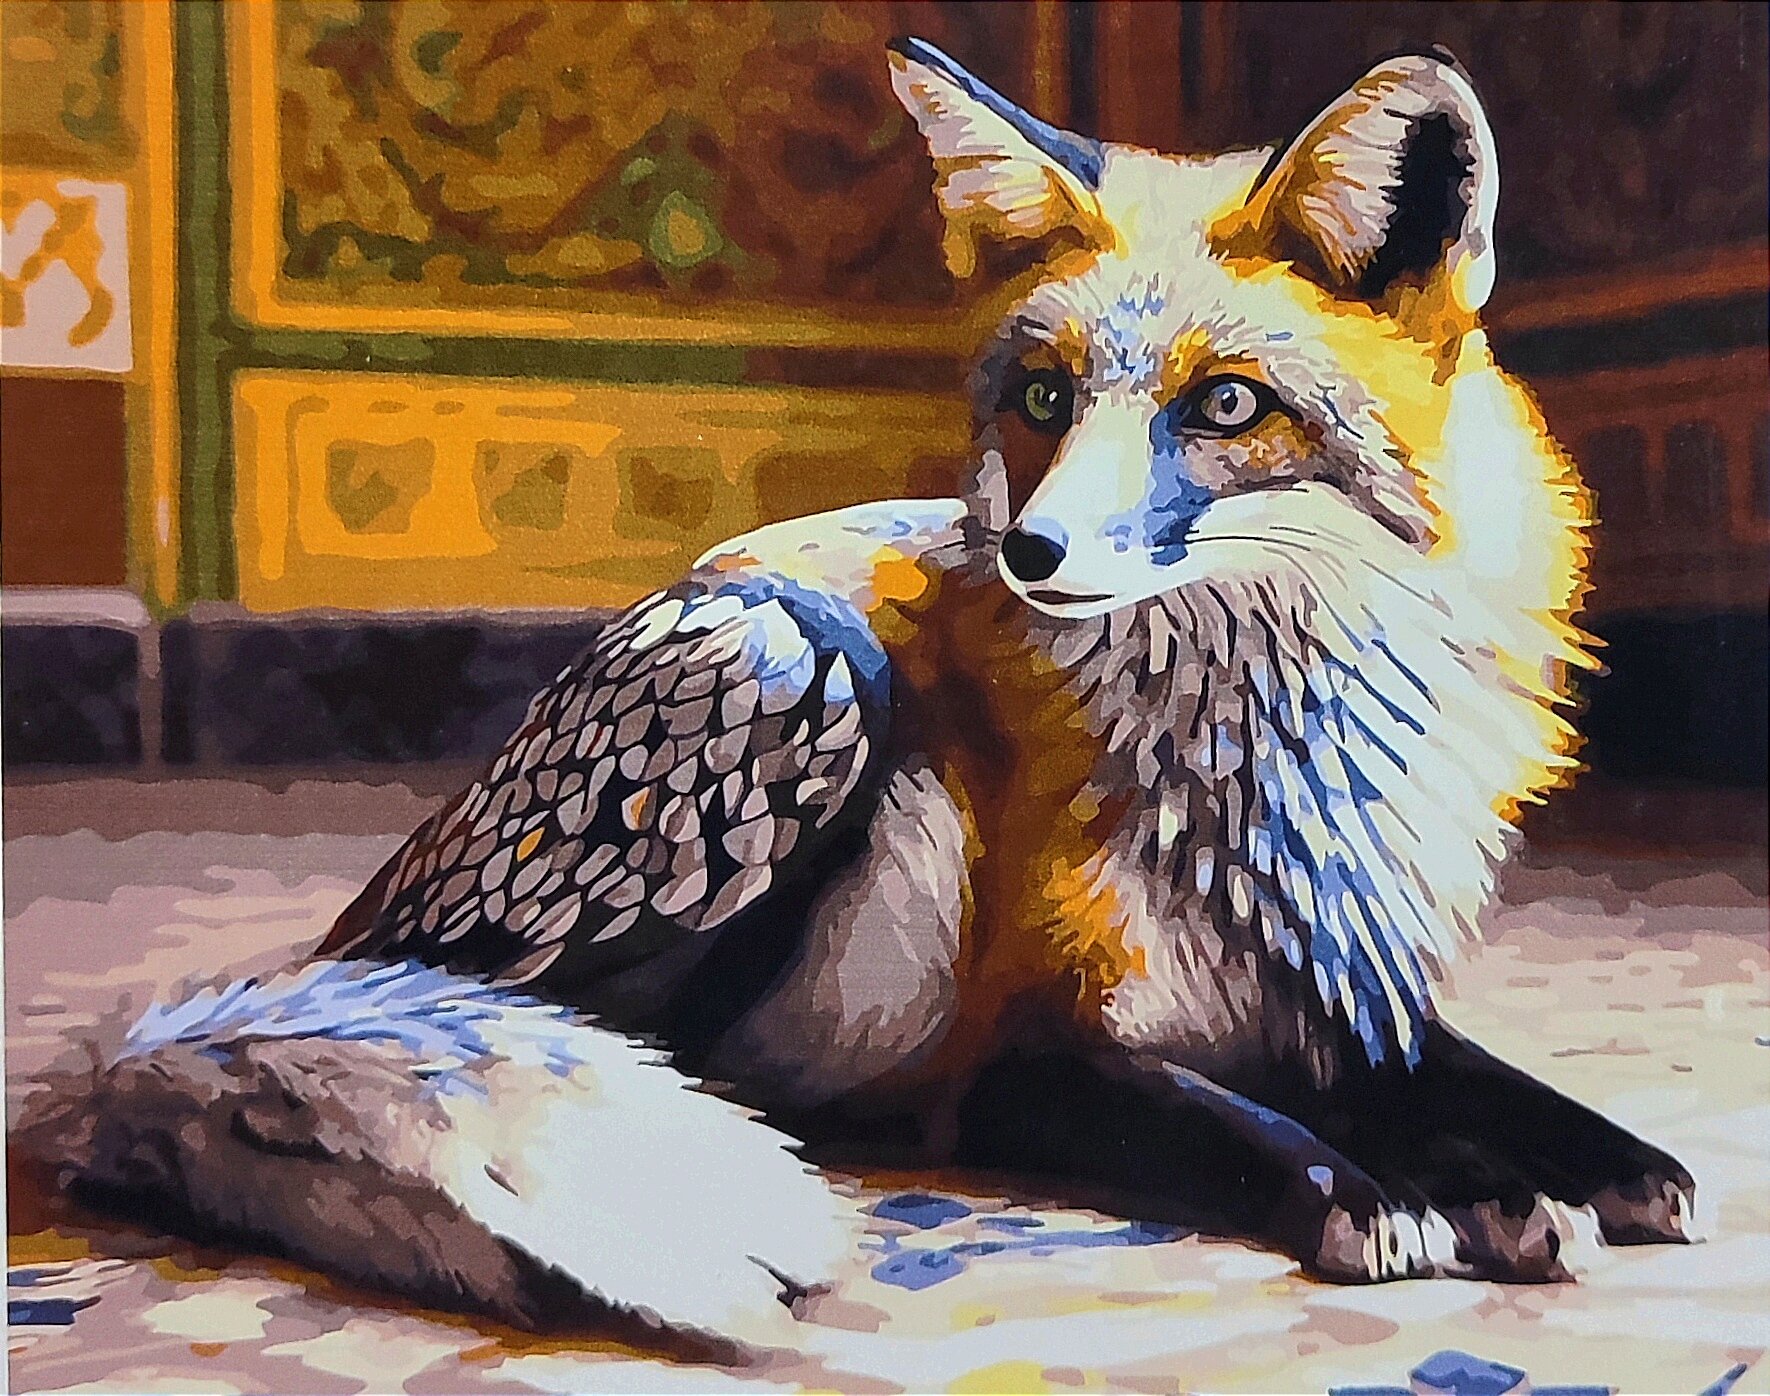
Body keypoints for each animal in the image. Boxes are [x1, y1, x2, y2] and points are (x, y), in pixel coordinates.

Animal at [15, 40, 1696, 1350]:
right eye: (1044, 398)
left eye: (1225, 405)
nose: (1026, 553)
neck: (1251, 762)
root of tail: (343, 938)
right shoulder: (1016, 1056)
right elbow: (1250, 1125)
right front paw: (1396, 1196)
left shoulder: (1332, 976)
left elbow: (1459, 1081)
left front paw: (1568, 1167)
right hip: (799, 673)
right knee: (565, 1027)